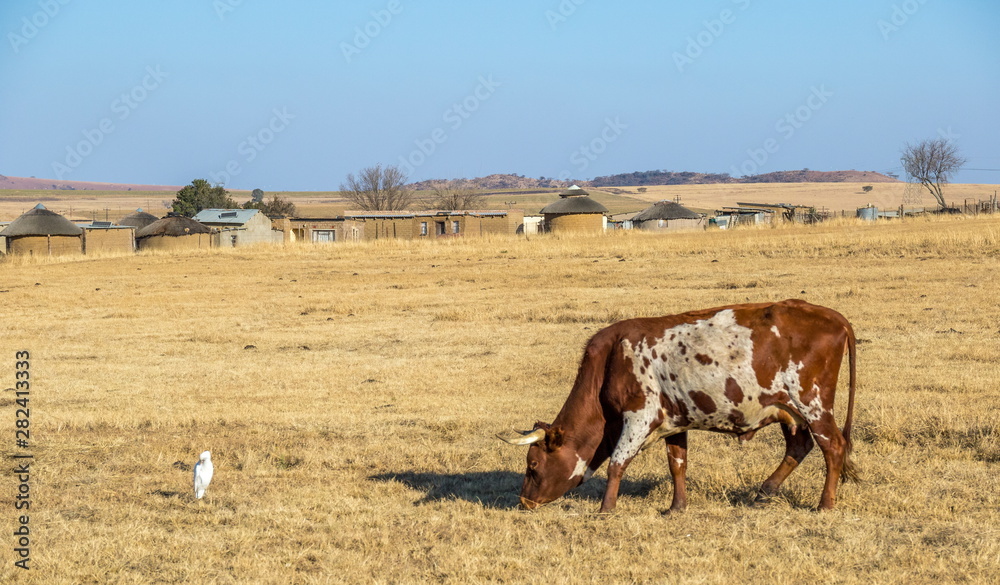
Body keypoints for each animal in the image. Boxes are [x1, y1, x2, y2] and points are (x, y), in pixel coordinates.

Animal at [498, 299, 858, 513]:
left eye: (533, 465)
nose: (524, 501)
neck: (610, 360)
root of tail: (833, 317)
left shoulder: (639, 417)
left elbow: (617, 462)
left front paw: (605, 509)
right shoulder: (675, 421)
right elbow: (677, 465)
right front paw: (677, 507)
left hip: (811, 403)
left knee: (833, 446)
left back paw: (825, 504)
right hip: (789, 411)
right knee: (799, 446)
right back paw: (764, 492)